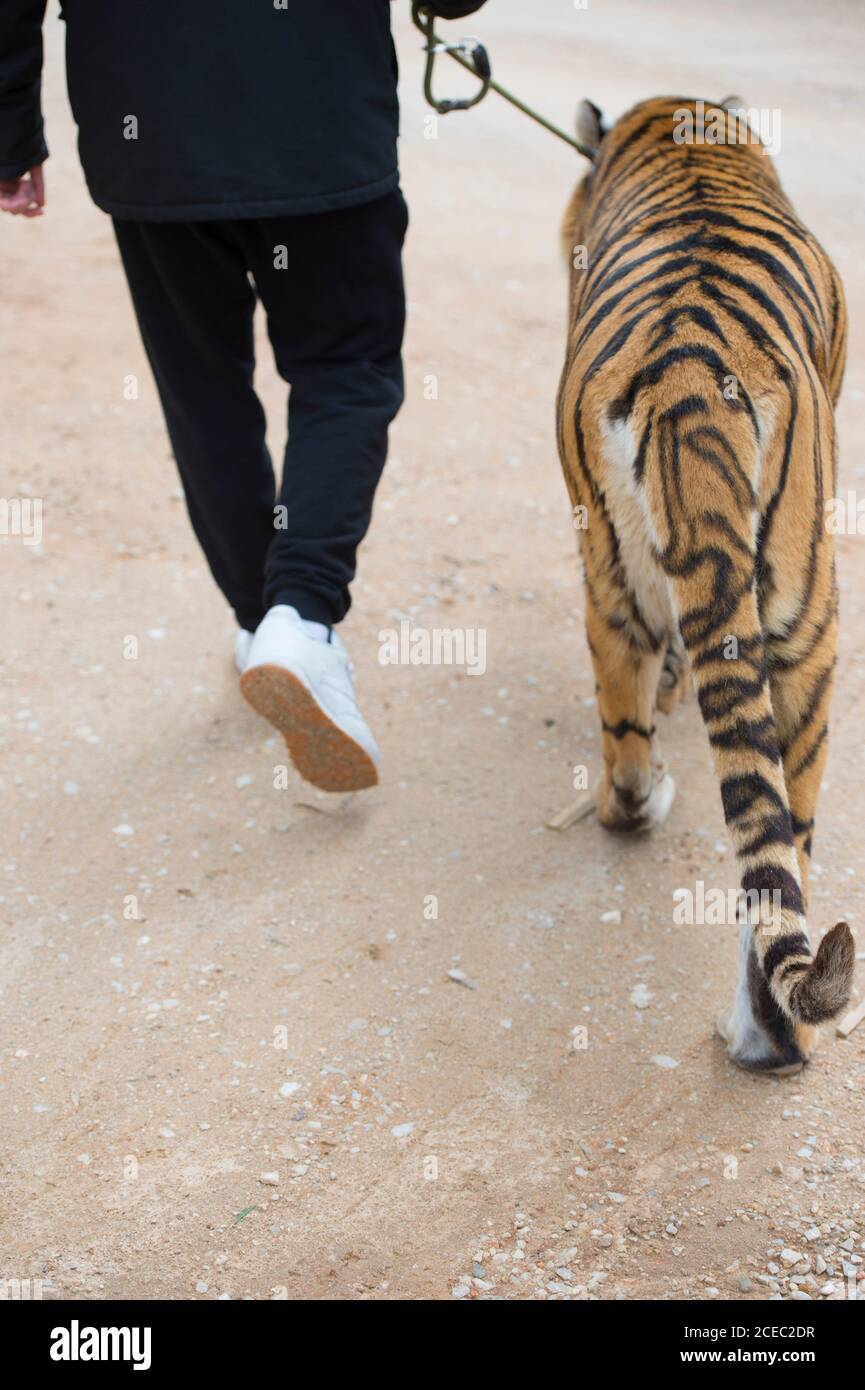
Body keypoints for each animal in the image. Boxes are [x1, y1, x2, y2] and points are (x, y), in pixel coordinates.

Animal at [556, 95, 854, 1074]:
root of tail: (690, 371)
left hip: (619, 580)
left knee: (634, 749)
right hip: (802, 627)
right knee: (785, 844)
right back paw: (771, 1038)